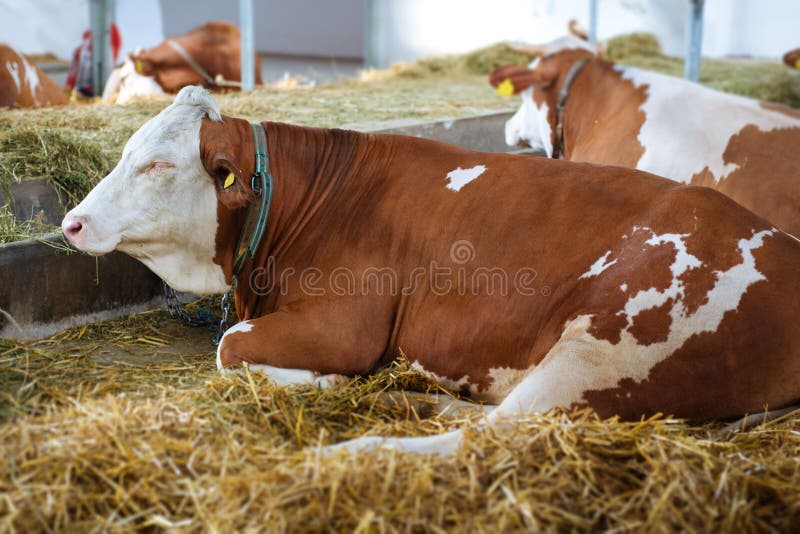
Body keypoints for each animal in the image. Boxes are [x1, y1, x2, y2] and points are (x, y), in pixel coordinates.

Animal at [62, 87, 800, 455]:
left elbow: (230, 348)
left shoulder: (346, 324)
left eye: (159, 164)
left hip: (609, 343)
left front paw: (326, 382)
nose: (71, 222)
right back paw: (406, 398)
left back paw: (354, 449)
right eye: (126, 150)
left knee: (483, 438)